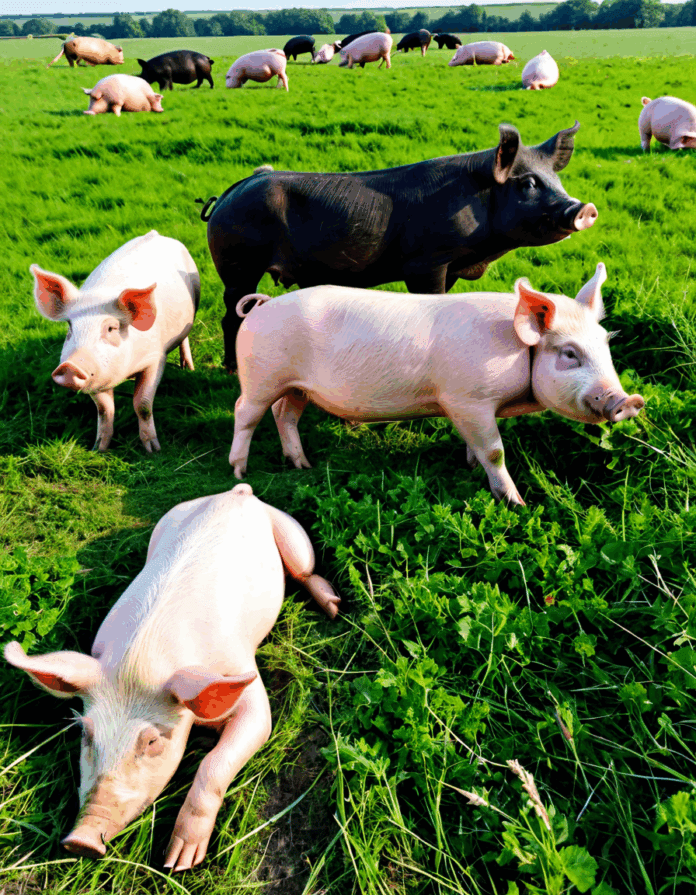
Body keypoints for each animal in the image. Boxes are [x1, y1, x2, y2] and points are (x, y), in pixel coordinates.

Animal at [4, 484, 340, 872]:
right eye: (86, 734)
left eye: (152, 741)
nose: (81, 840)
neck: (141, 658)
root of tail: (238, 492)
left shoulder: (247, 683)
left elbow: (219, 759)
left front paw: (178, 863)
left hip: (291, 533)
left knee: (304, 571)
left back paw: (334, 607)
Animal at [31, 230, 198, 452]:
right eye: (70, 328)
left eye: (111, 328)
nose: (70, 366)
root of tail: (156, 233)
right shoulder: (97, 377)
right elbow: (104, 410)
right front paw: (99, 449)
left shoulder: (155, 359)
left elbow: (143, 404)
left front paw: (153, 450)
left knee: (185, 338)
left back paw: (188, 368)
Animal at [229, 265, 644, 506]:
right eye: (570, 353)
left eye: (605, 342)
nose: (628, 400)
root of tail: (262, 305)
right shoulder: (466, 398)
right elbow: (495, 451)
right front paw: (516, 503)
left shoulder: (469, 407)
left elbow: (477, 447)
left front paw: (471, 467)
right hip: (261, 377)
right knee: (245, 413)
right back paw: (240, 472)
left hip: (297, 387)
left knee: (285, 414)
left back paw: (301, 465)